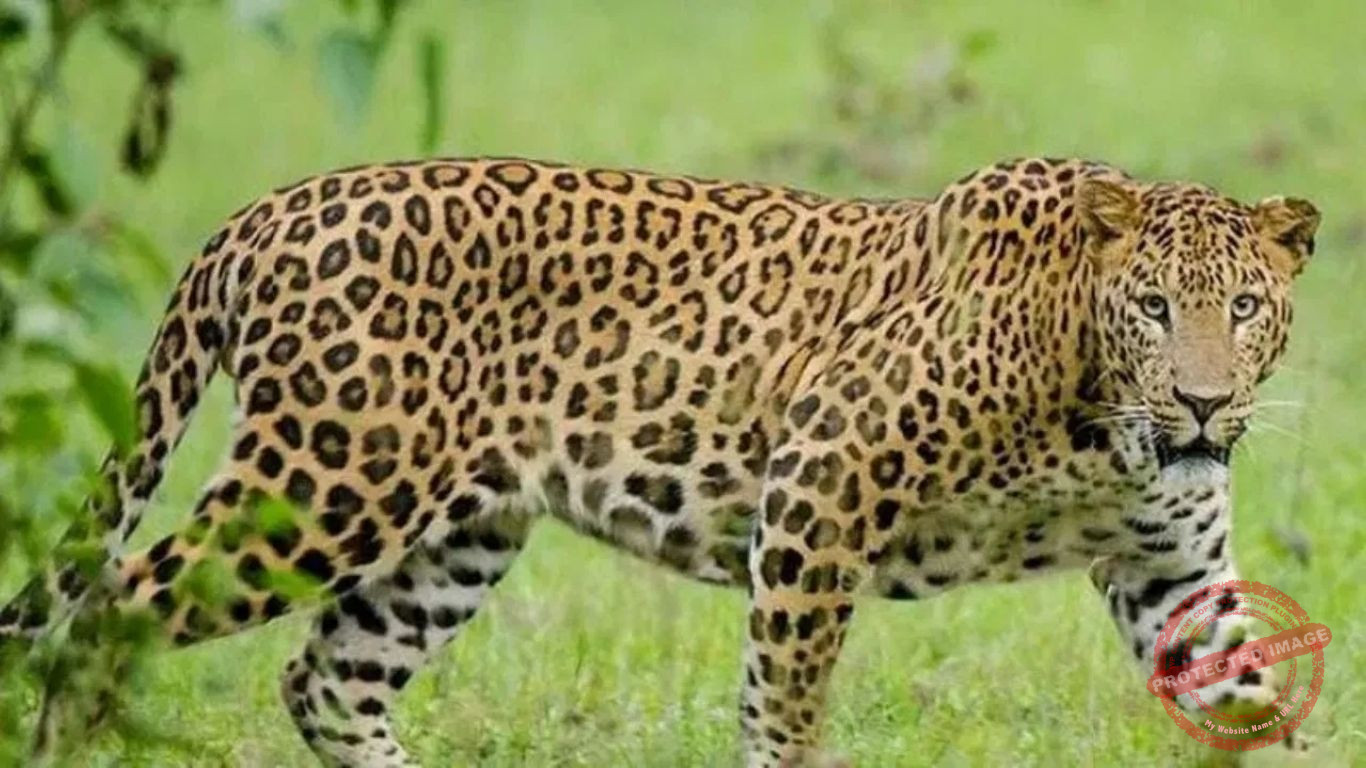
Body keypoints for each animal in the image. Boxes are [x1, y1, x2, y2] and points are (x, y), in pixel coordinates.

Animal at [0, 155, 1320, 766]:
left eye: (1246, 308)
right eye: (1153, 307)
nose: (1203, 404)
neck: (1101, 422)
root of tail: (261, 213)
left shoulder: (1172, 577)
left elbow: (1256, 702)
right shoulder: (820, 478)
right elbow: (784, 702)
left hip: (454, 537)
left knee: (326, 679)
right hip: (320, 488)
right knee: (104, 616)